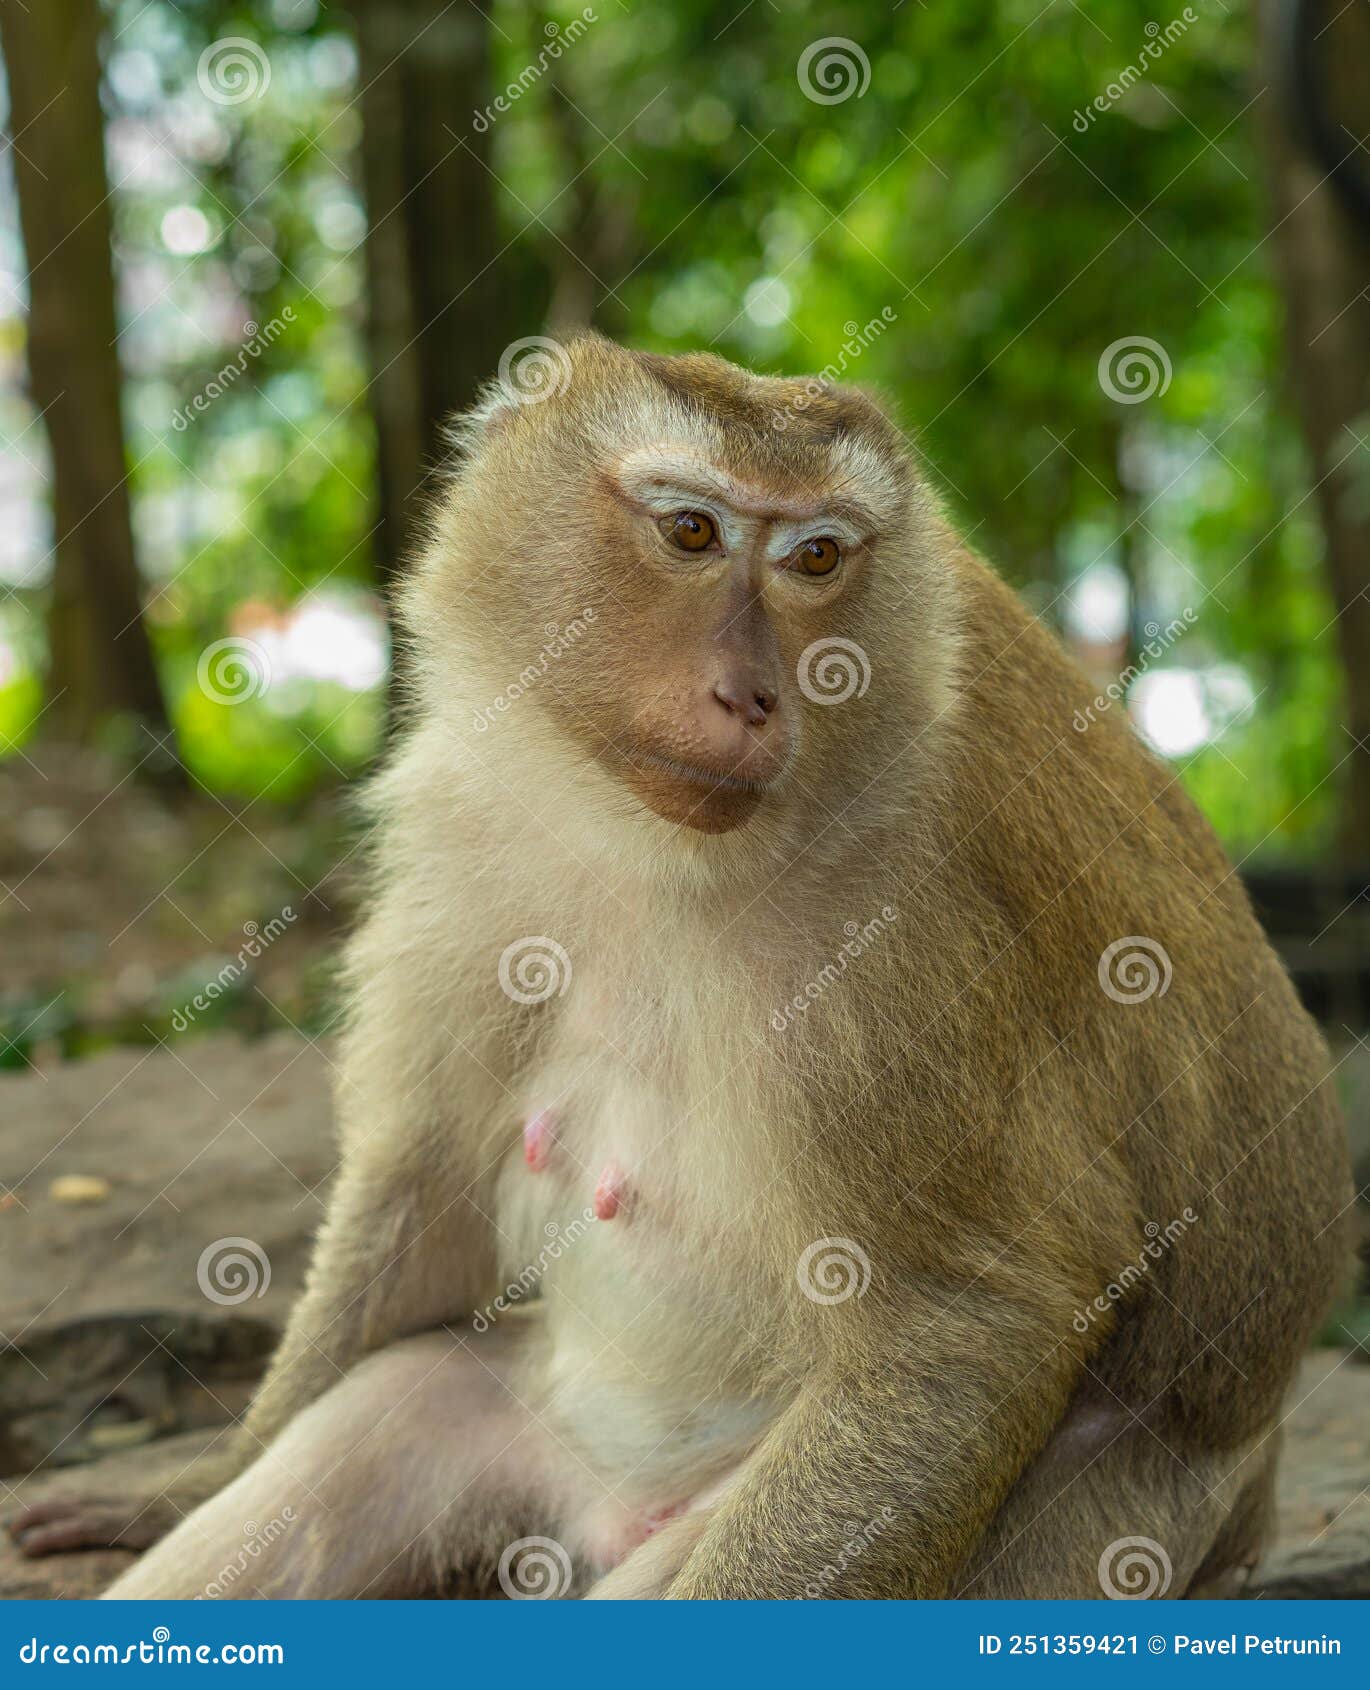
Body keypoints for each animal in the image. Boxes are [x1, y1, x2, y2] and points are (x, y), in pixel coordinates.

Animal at [11, 333, 1350, 1599]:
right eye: (692, 531)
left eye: (817, 558)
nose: (750, 693)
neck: (647, 847)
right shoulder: (460, 818)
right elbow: (426, 1179)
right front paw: (173, 1483)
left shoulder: (901, 936)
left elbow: (971, 1321)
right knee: (392, 1410)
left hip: (1099, 1514)